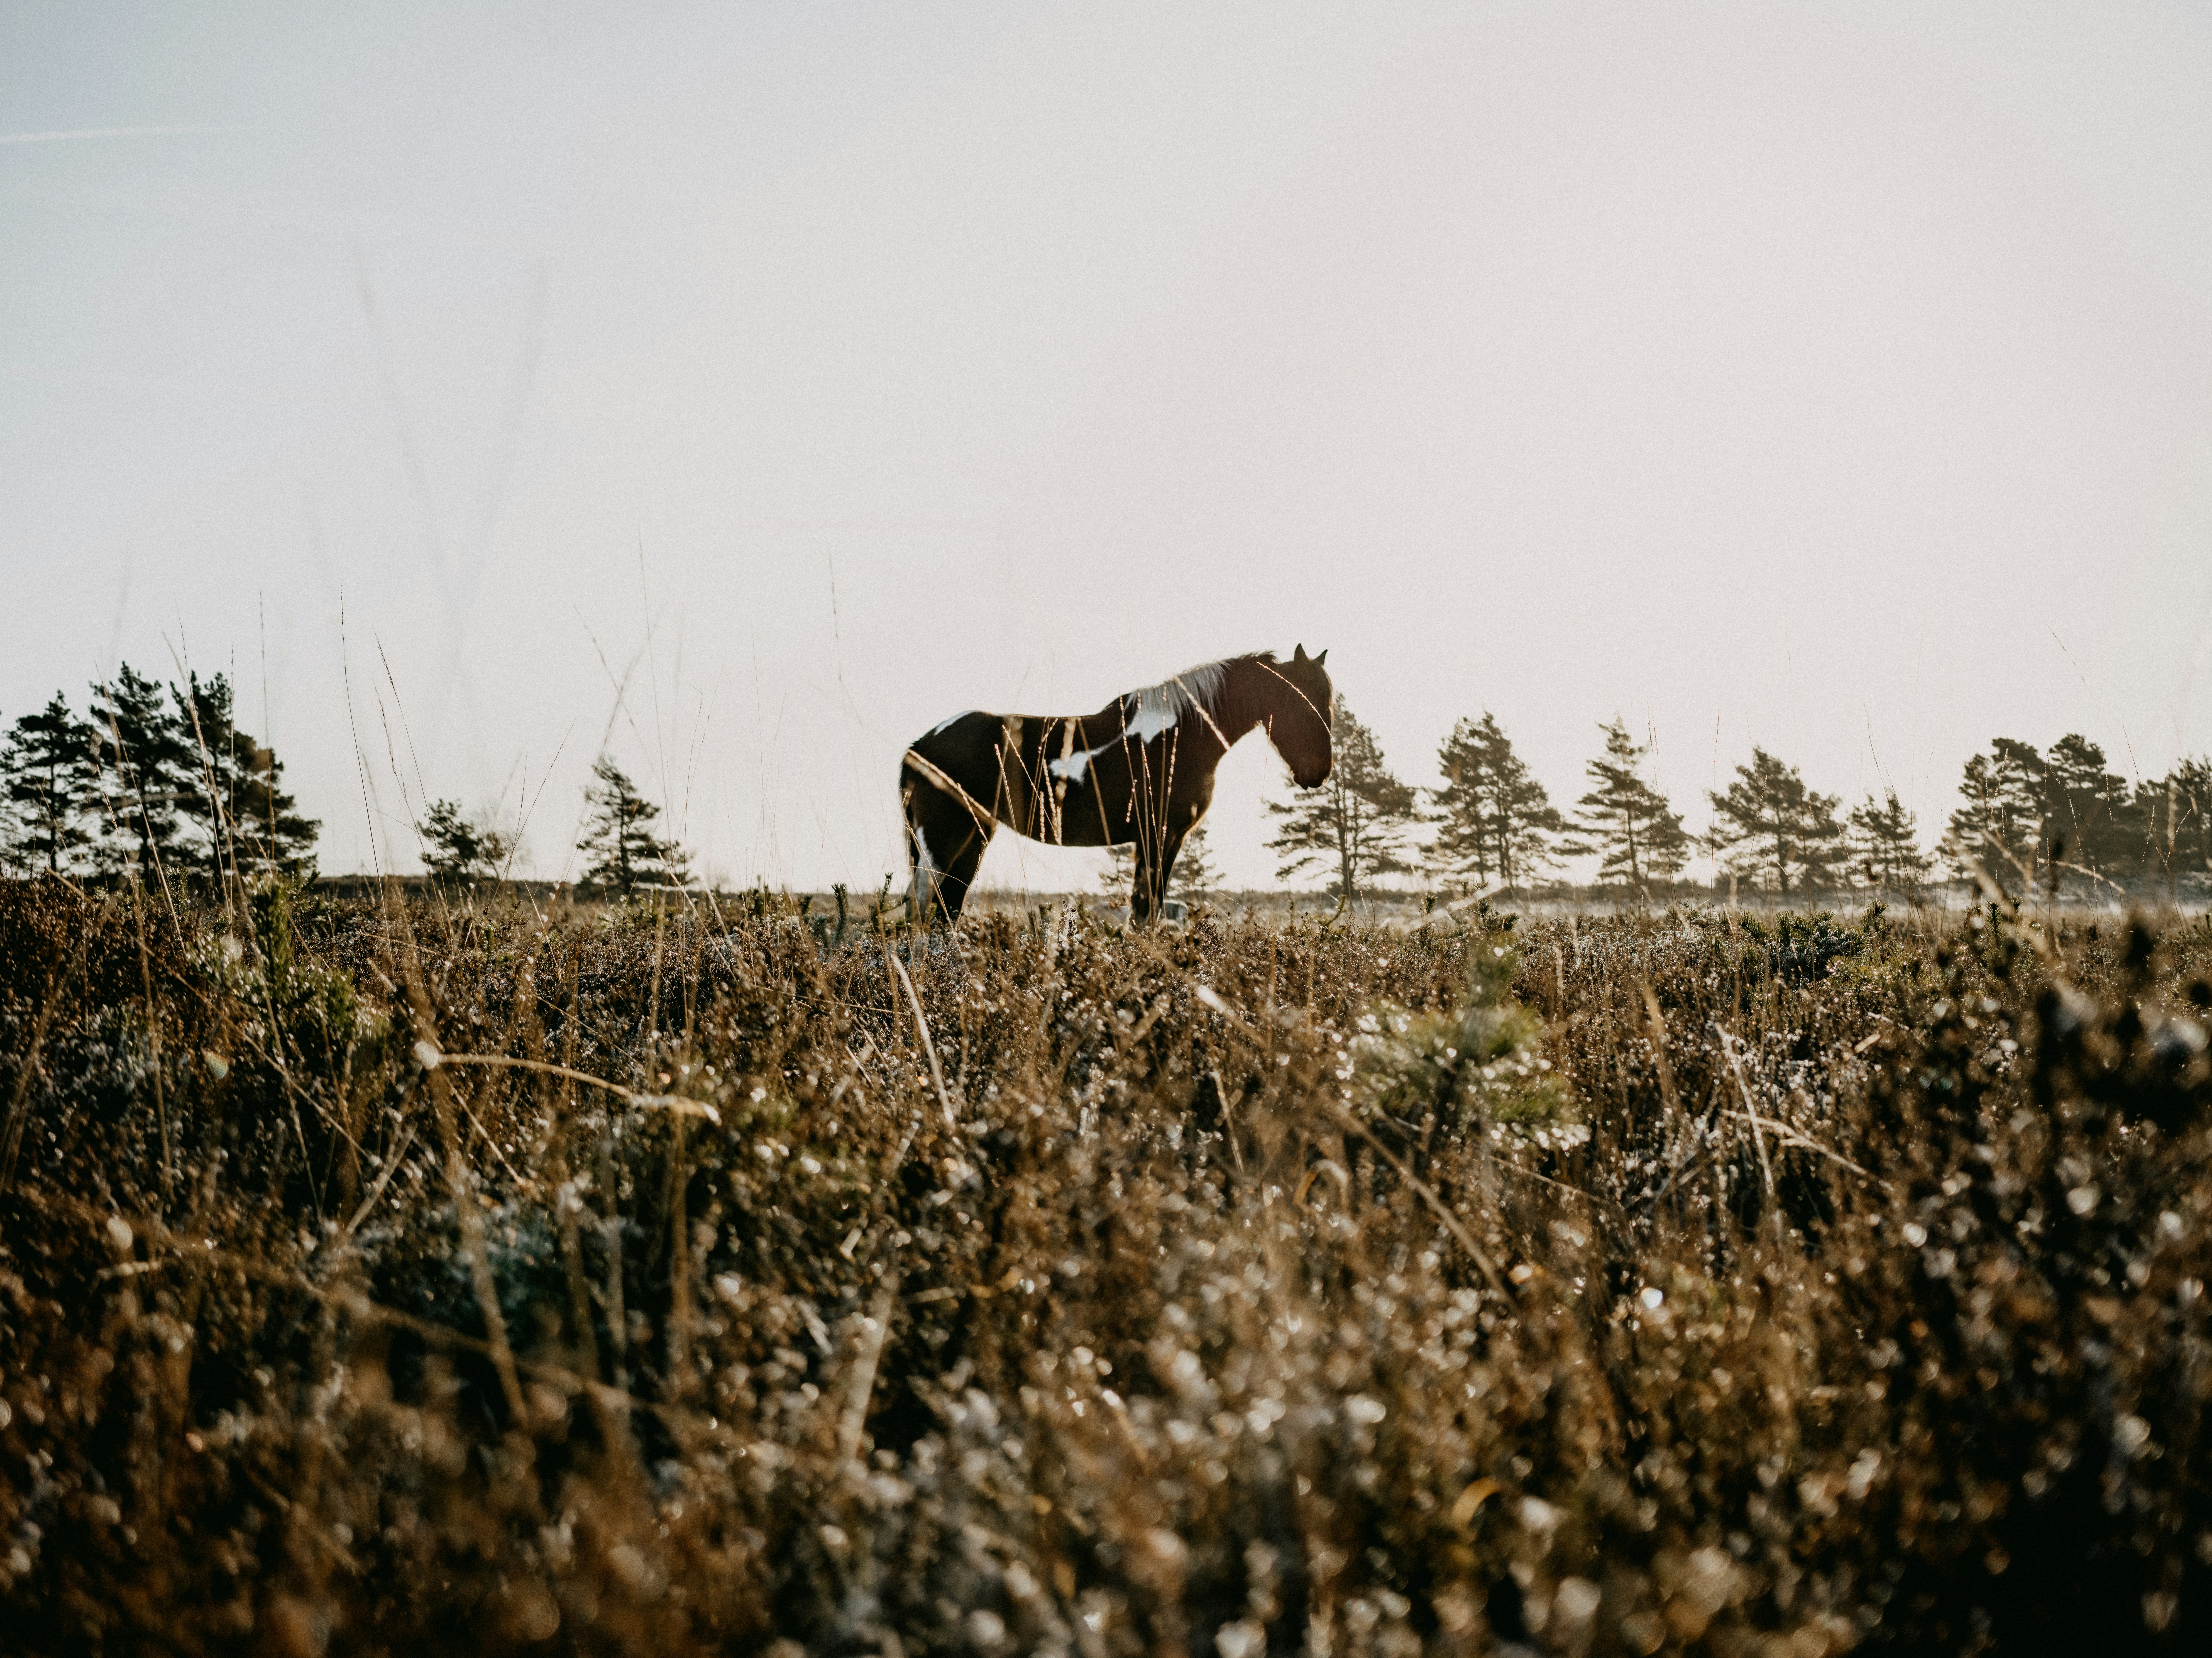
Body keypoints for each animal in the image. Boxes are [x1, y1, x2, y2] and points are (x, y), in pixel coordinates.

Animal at [900, 645, 1334, 926]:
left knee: (945, 911)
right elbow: (1144, 911)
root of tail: (921, 744)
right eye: (1301, 701)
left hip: (971, 838)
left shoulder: (1169, 838)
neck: (1180, 736)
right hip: (946, 840)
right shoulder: (1155, 835)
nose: (1318, 773)